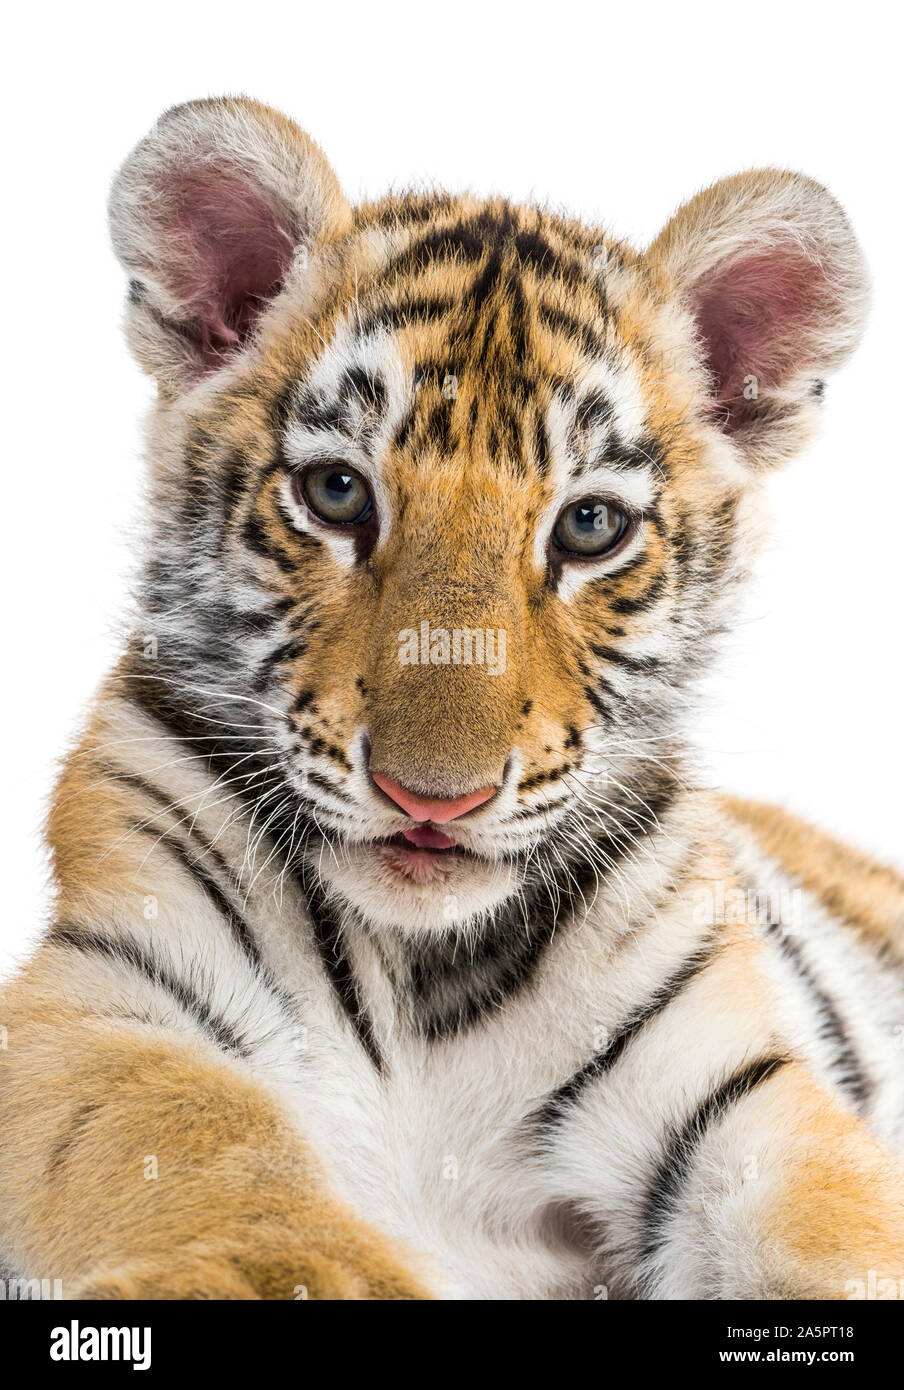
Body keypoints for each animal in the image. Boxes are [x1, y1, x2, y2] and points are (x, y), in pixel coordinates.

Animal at [1, 94, 902, 1302]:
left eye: (588, 526)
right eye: (337, 493)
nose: (435, 799)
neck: (417, 965)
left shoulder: (733, 1092)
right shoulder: (107, 1005)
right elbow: (237, 1186)